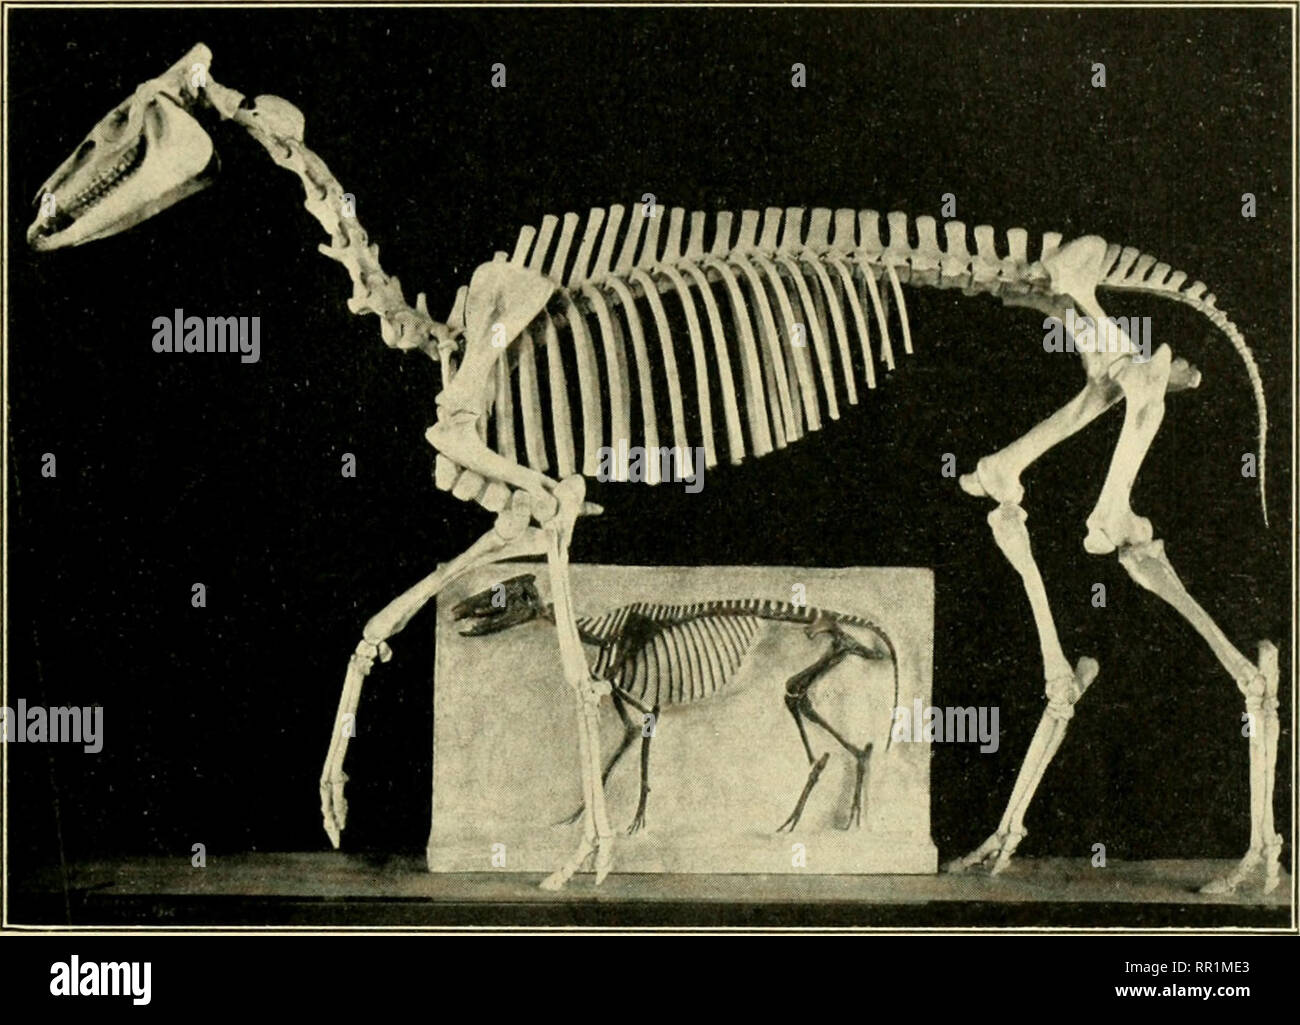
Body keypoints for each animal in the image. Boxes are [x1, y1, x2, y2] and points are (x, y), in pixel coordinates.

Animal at [26, 44, 1281, 893]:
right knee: (1045, 456)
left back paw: (1238, 855)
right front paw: (335, 803)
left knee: (1134, 410)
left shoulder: (524, 472)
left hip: (1077, 324)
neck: (438, 326)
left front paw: (580, 857)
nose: (38, 215)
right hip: (1046, 376)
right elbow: (393, 612)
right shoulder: (507, 501)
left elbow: (565, 615)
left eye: (122, 117)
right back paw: (1020, 846)